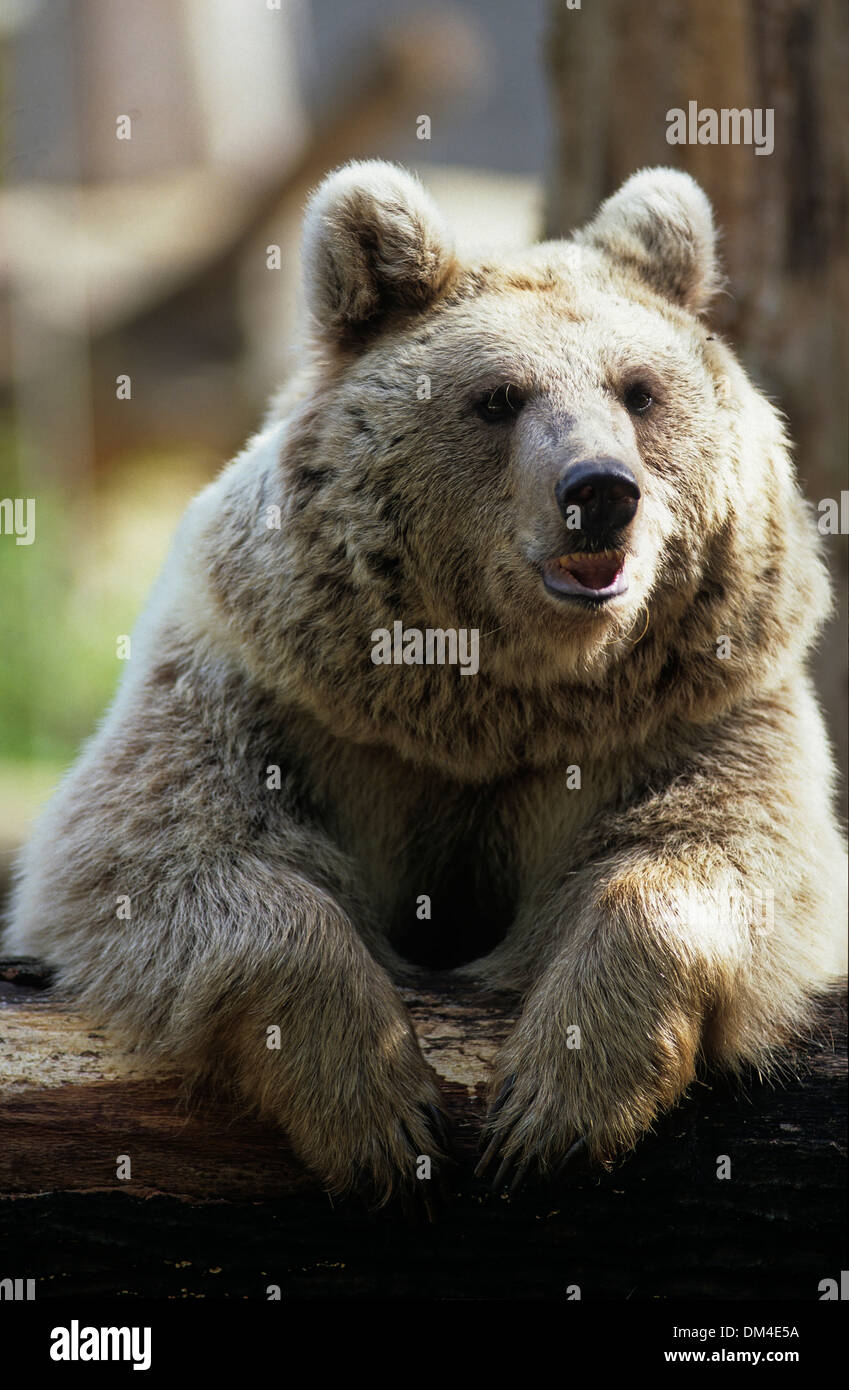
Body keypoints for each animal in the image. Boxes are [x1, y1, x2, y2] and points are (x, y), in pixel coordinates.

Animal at [4, 162, 846, 1205]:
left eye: (638, 390)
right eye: (499, 397)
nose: (599, 492)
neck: (494, 691)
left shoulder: (687, 708)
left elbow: (729, 853)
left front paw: (558, 1103)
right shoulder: (281, 695)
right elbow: (158, 853)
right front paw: (374, 1105)